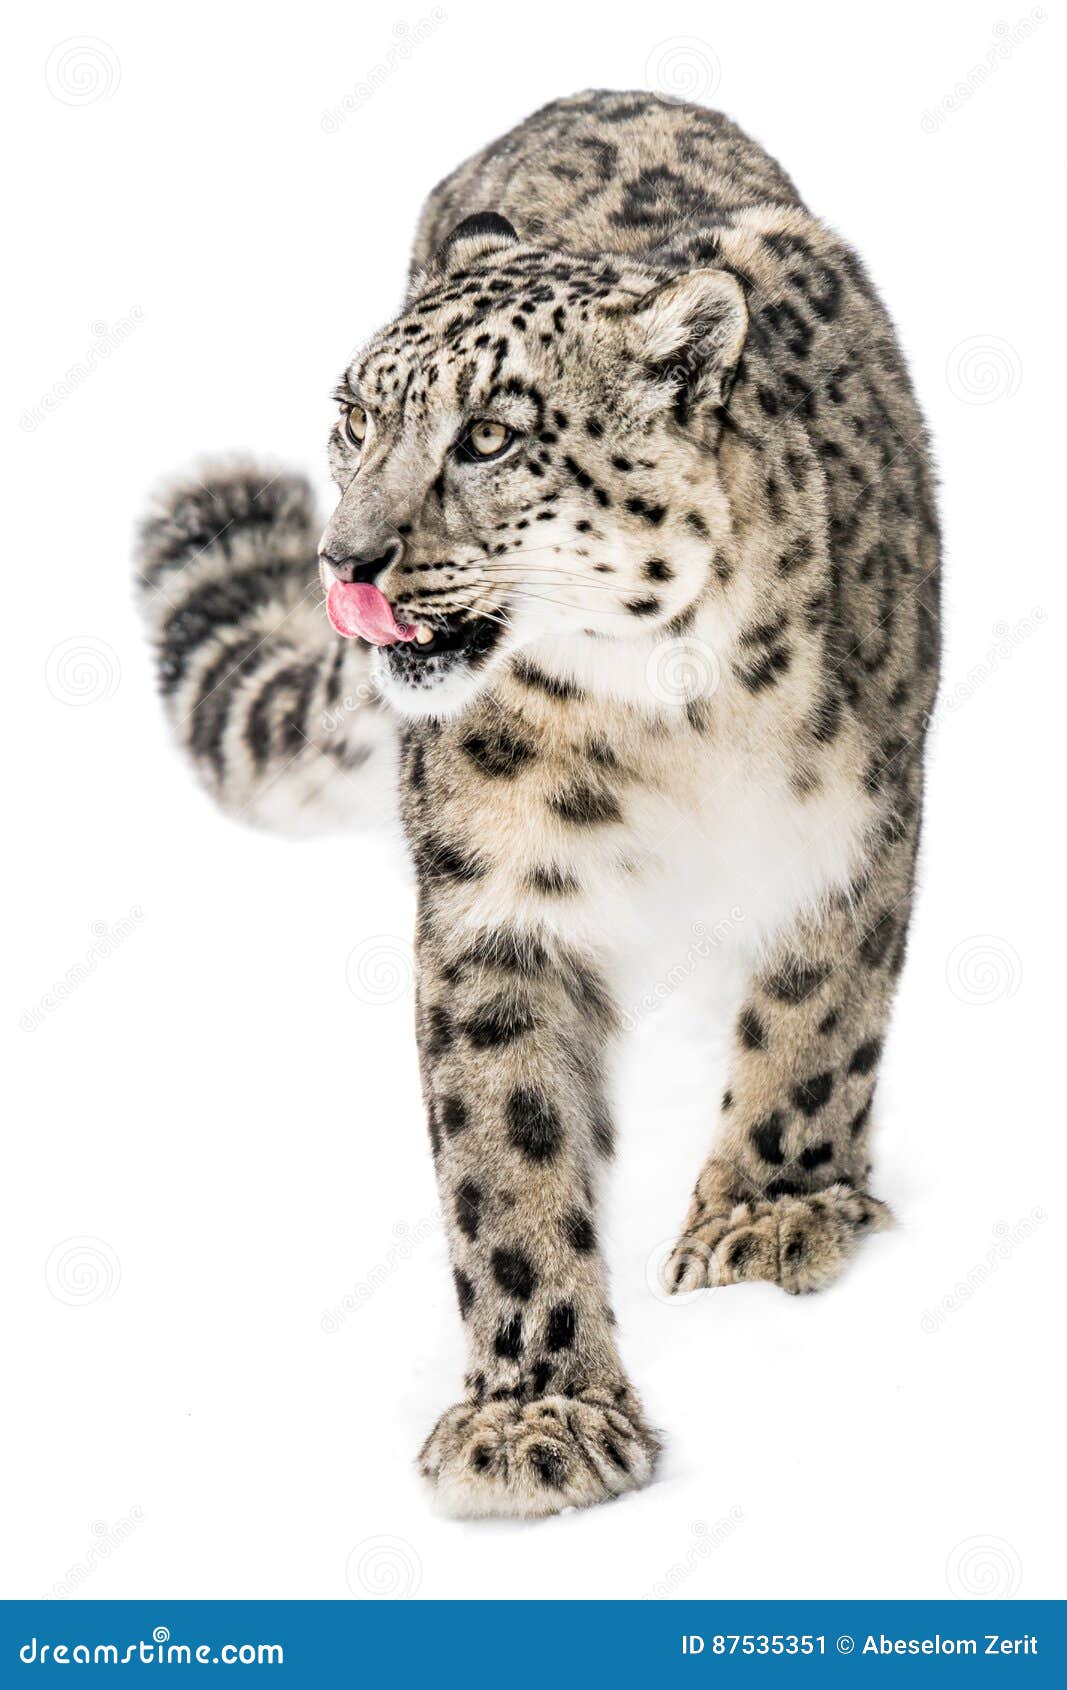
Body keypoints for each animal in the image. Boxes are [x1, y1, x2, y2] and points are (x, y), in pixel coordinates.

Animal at [137, 89, 940, 1519]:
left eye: (490, 434)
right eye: (353, 417)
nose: (346, 558)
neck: (664, 716)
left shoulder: (849, 829)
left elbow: (814, 1027)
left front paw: (766, 1220)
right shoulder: (494, 899)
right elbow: (505, 1151)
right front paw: (535, 1415)